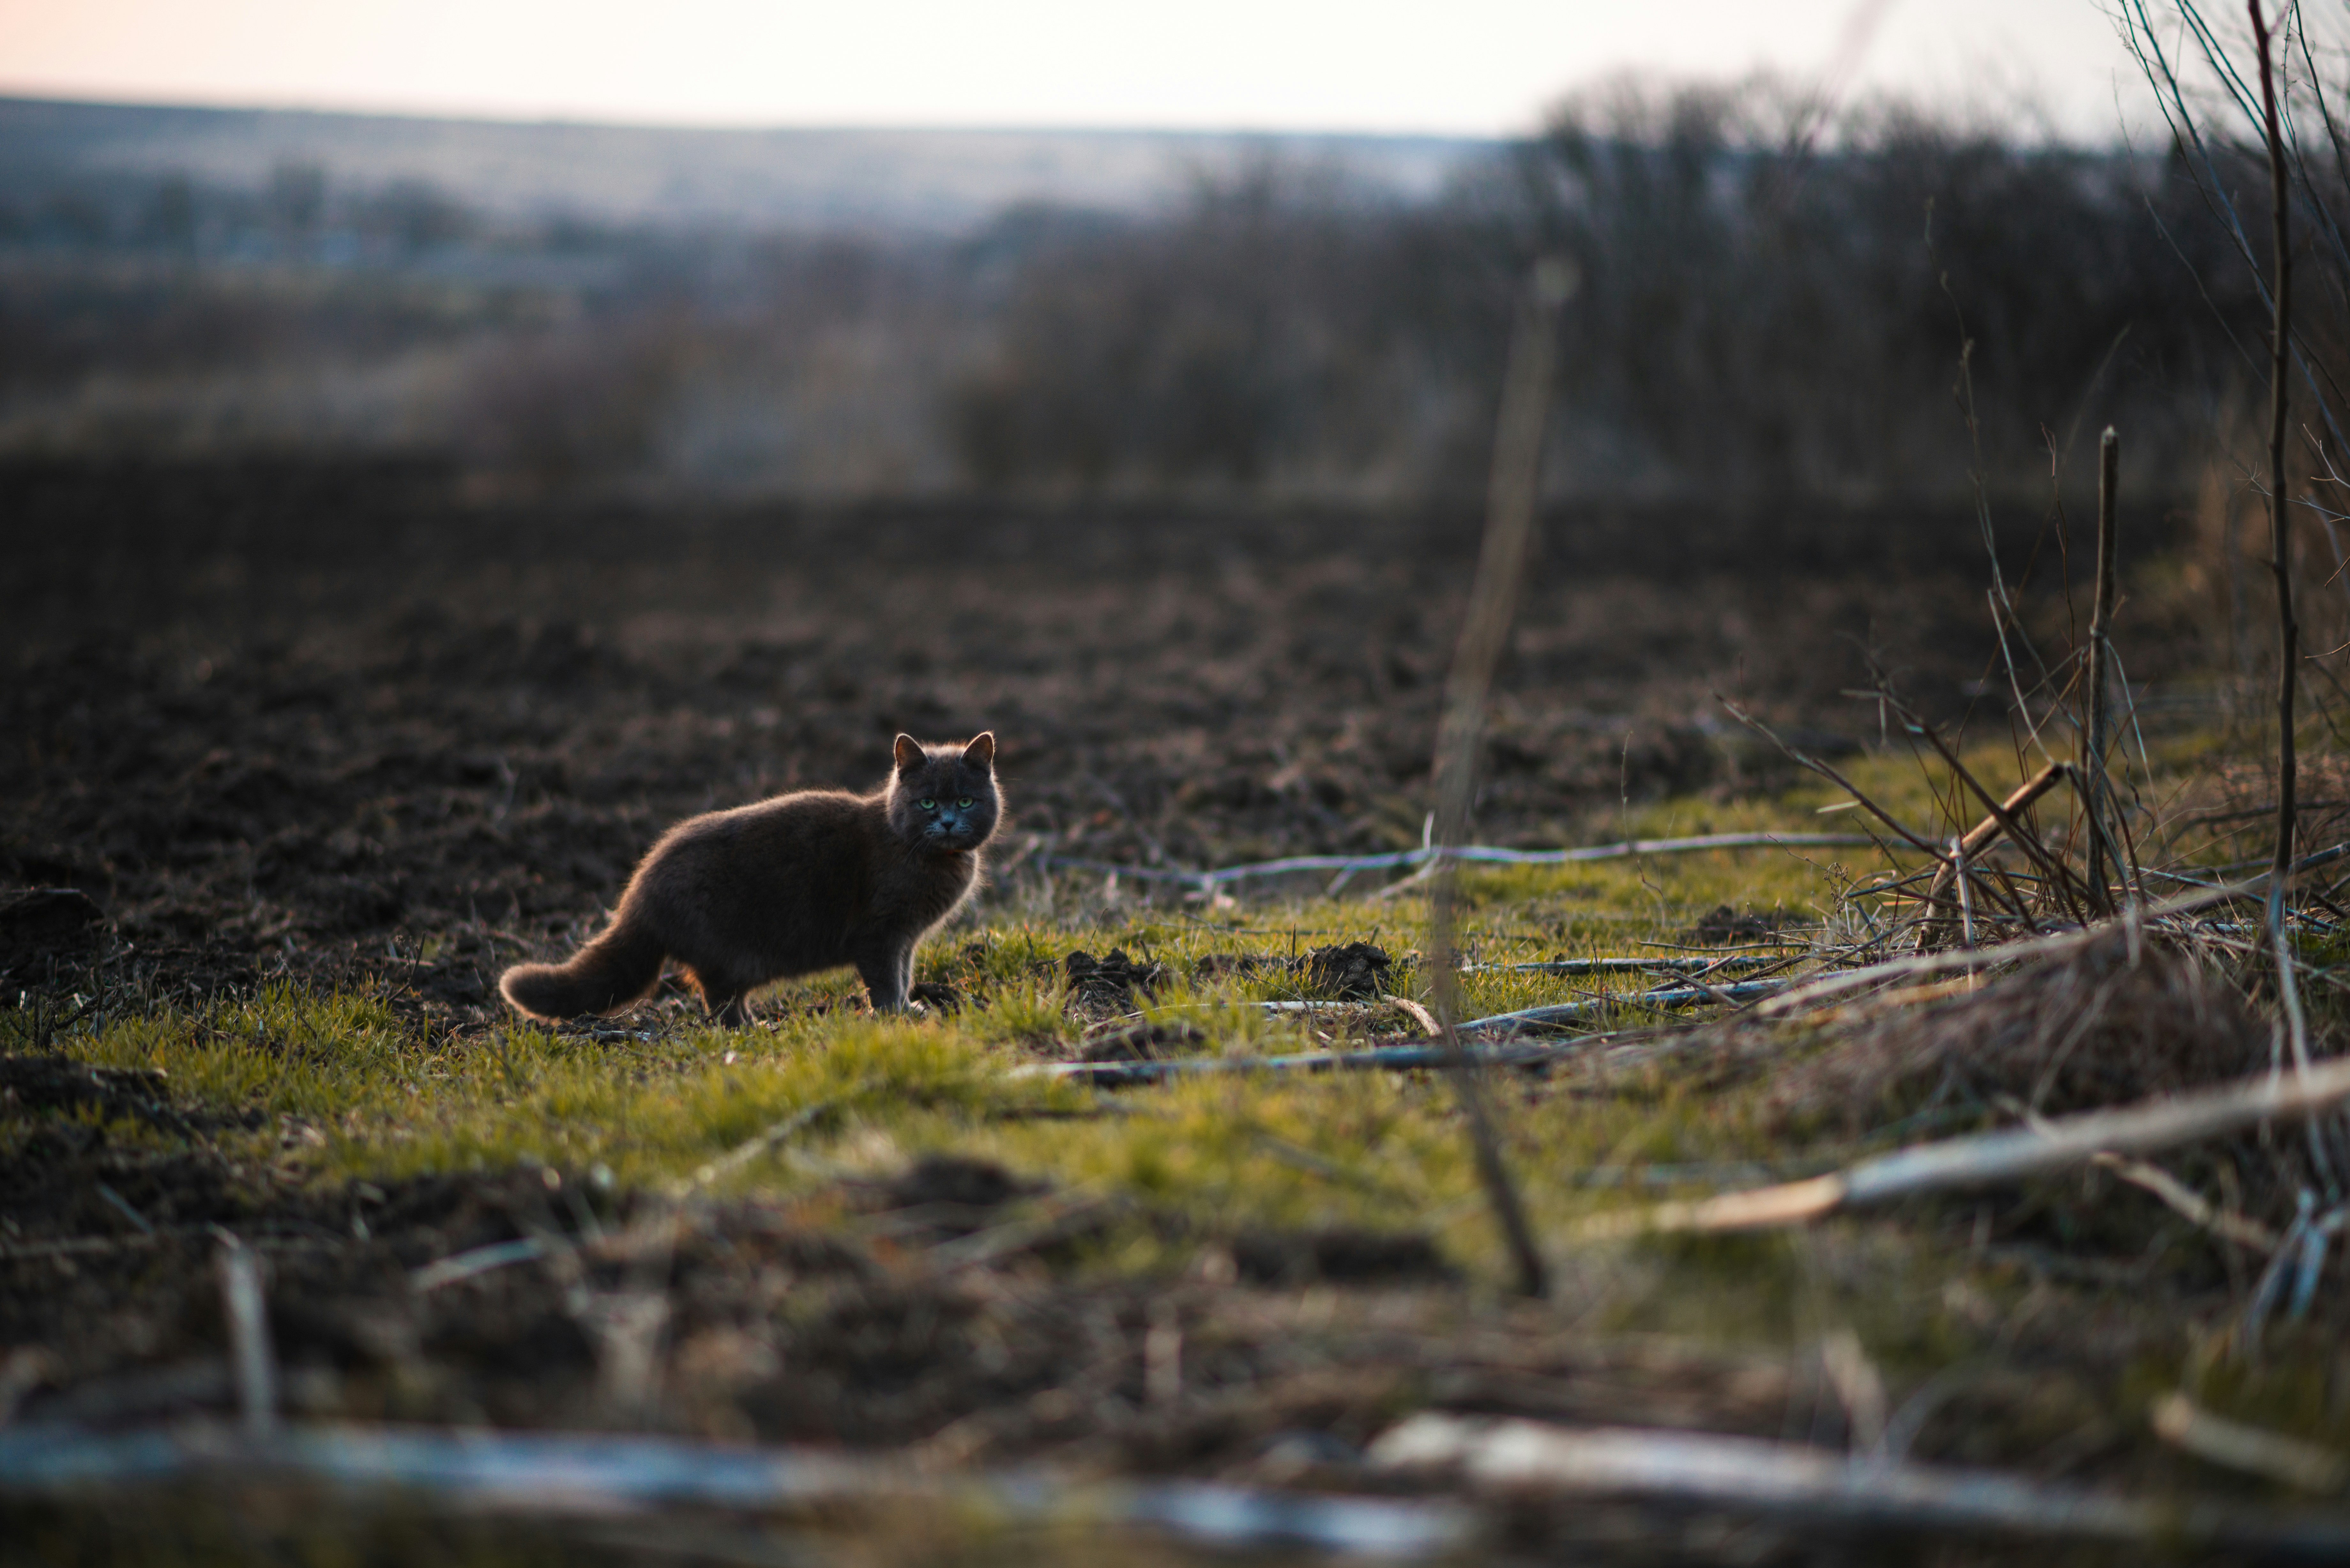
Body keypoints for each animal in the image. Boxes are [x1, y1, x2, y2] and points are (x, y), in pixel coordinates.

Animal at [499, 733, 999, 1025]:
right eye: (928, 803)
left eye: (967, 801)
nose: (949, 822)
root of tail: (638, 892)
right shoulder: (881, 931)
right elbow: (885, 978)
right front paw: (898, 1014)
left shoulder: (906, 938)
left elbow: (904, 971)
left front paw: (910, 1006)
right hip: (727, 951)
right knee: (717, 999)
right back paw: (751, 1029)